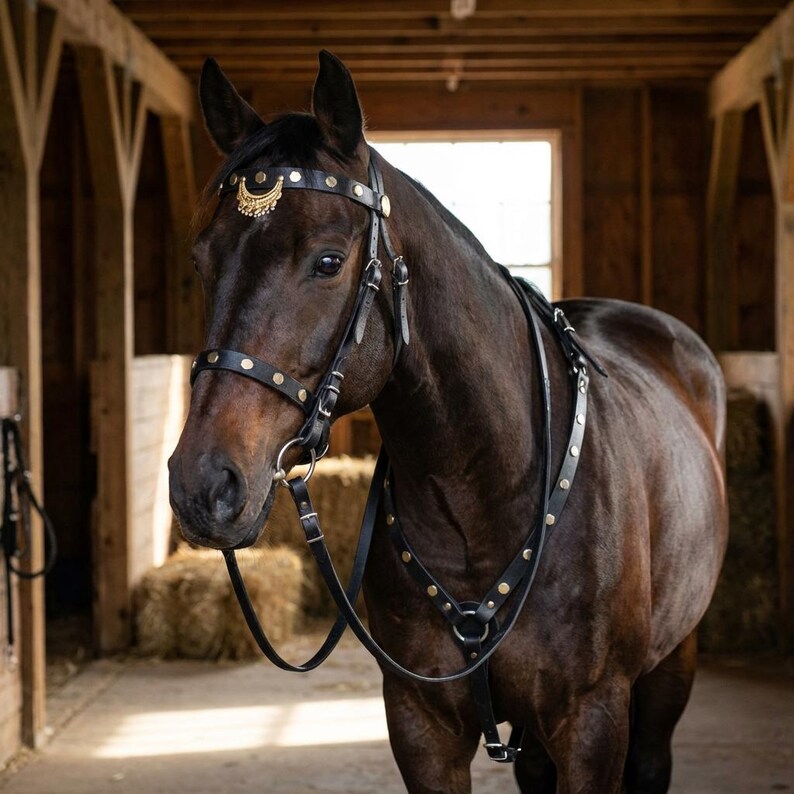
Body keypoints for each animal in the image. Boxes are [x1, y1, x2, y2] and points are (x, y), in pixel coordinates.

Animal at [168, 50, 728, 794]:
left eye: (327, 261)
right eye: (202, 259)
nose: (201, 485)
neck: (481, 495)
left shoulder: (594, 720)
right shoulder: (421, 724)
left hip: (671, 668)